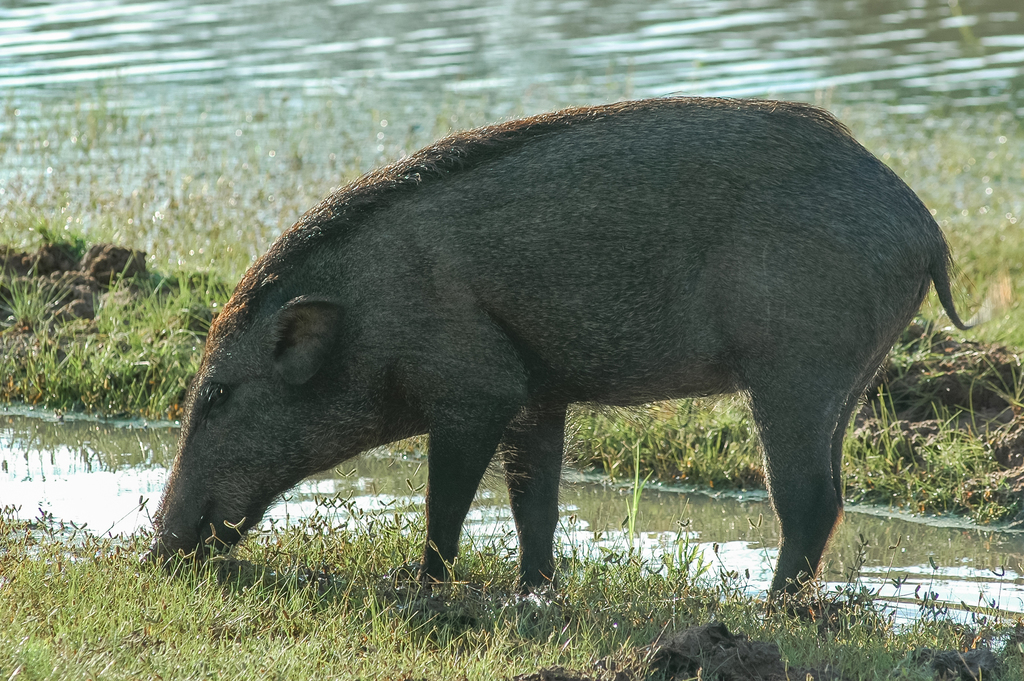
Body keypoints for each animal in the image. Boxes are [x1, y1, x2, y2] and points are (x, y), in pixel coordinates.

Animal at [150, 97, 970, 593]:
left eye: (217, 393)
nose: (155, 550)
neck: (371, 316)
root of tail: (925, 230)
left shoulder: (478, 389)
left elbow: (446, 501)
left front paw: (422, 587)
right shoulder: (536, 393)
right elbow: (532, 505)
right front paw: (532, 591)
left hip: (795, 368)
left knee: (807, 499)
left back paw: (768, 612)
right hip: (845, 377)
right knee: (829, 496)